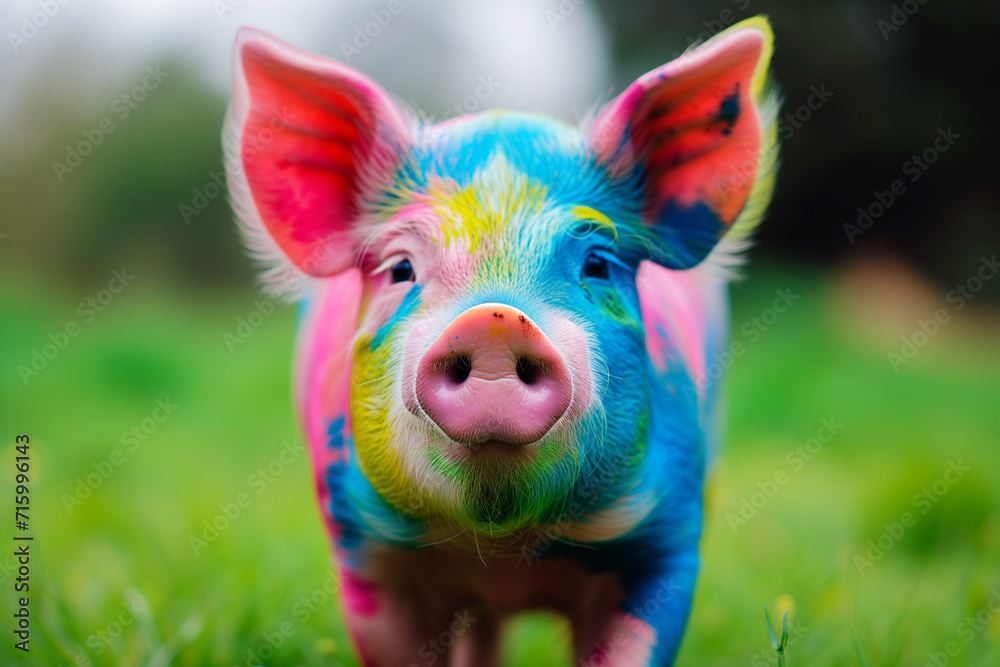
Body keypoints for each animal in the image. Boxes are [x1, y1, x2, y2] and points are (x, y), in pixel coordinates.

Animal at [225, 16, 778, 667]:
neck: (503, 547)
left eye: (598, 264)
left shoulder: (667, 541)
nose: (494, 320)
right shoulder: (365, 556)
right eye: (400, 269)